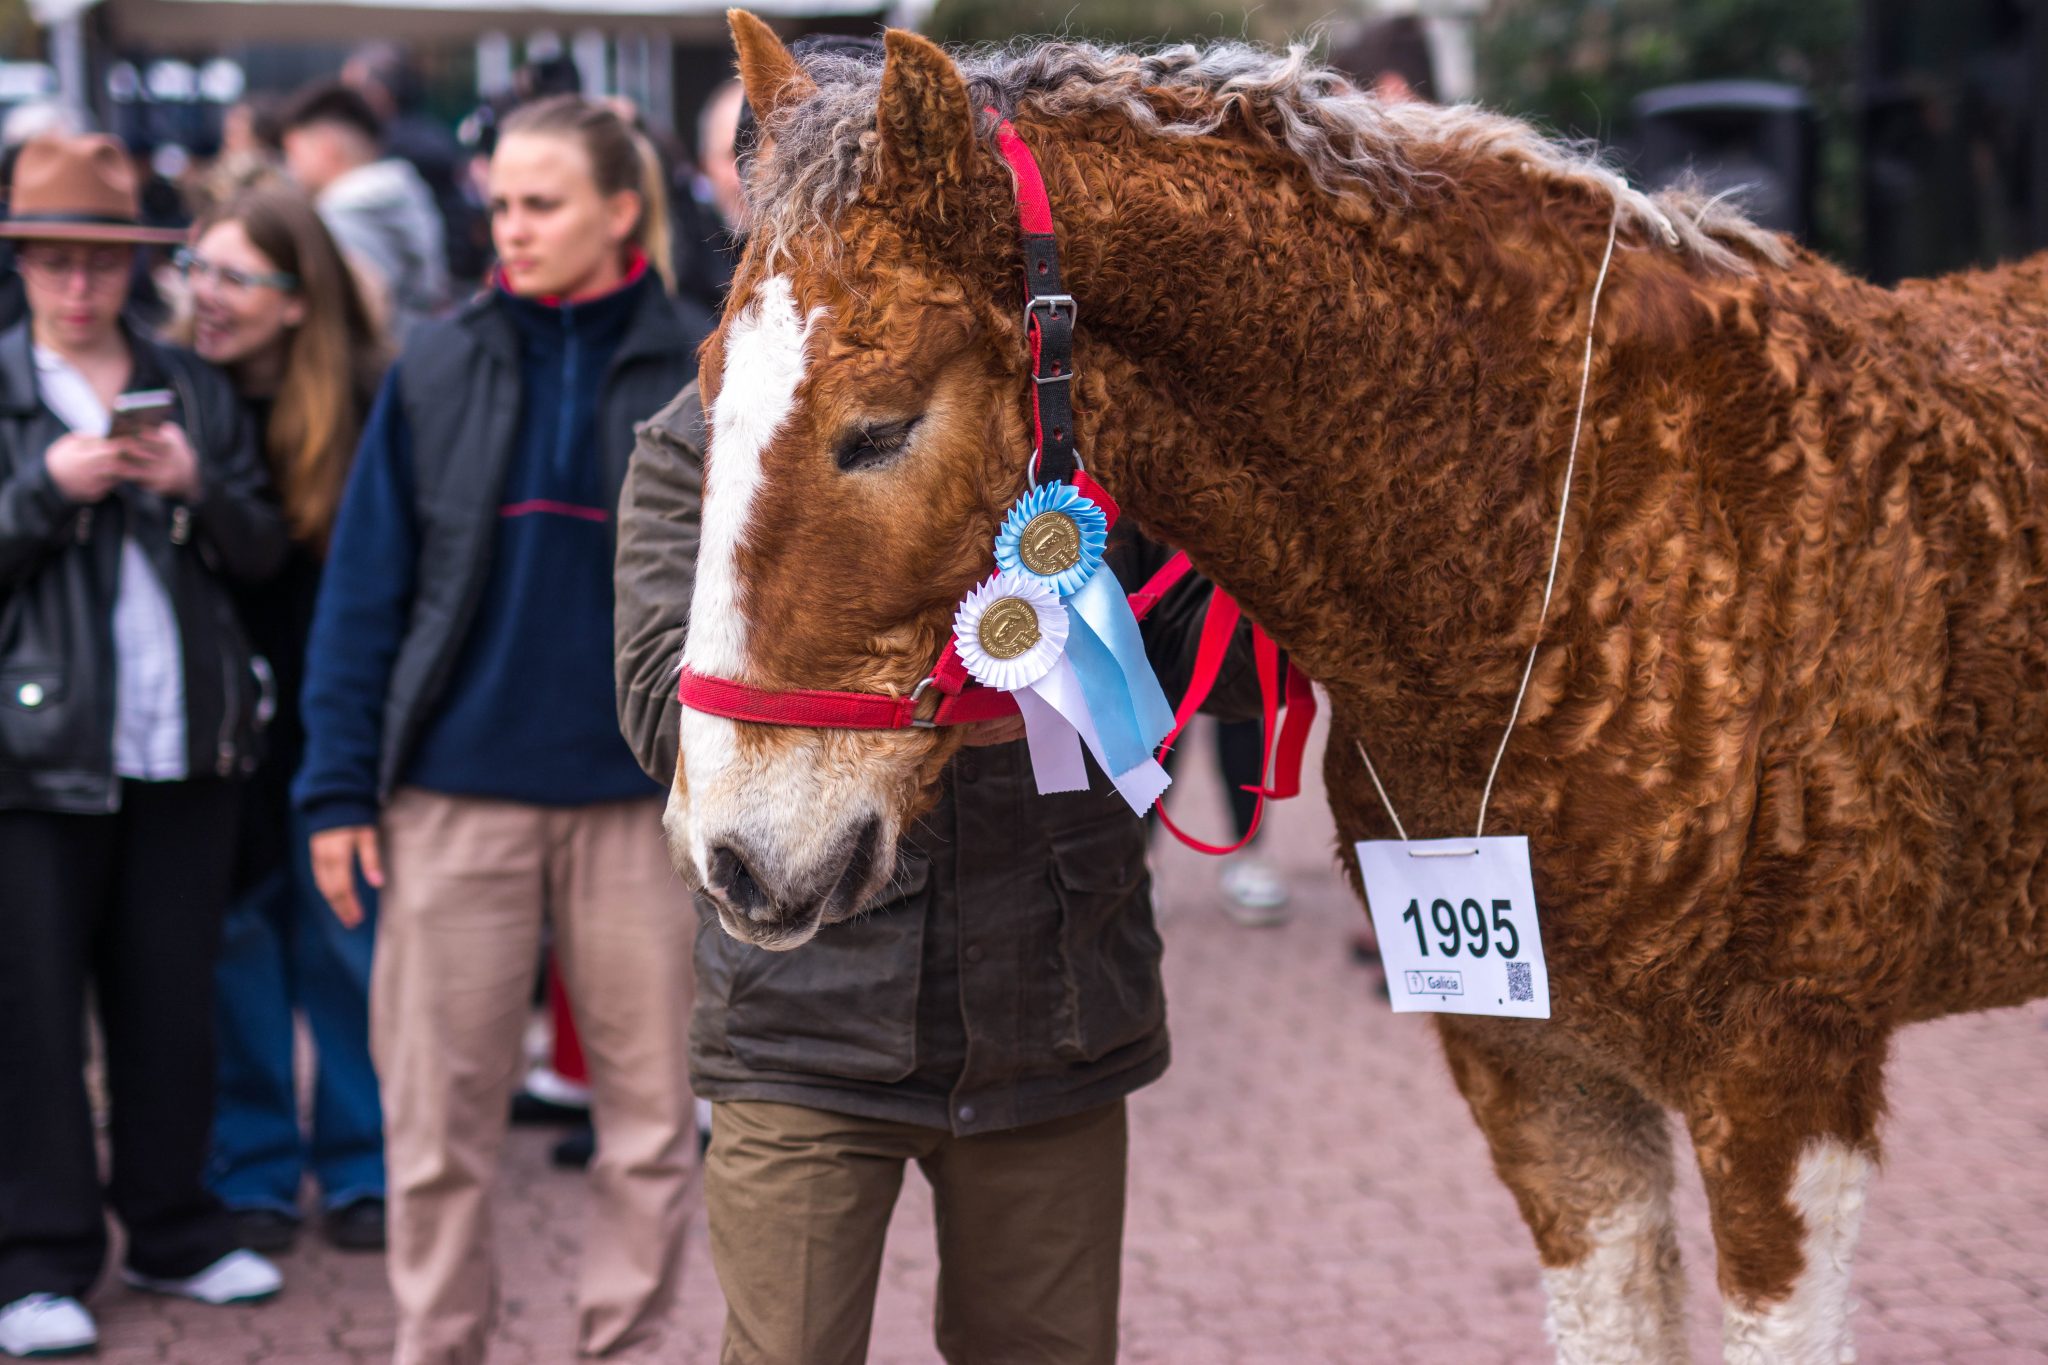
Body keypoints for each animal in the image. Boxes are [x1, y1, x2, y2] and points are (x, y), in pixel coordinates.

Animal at [666, 13, 2048, 1362]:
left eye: (879, 428)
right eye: (705, 385)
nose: (729, 850)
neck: (1603, 553)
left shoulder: (1783, 1092)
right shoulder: (1538, 1080)